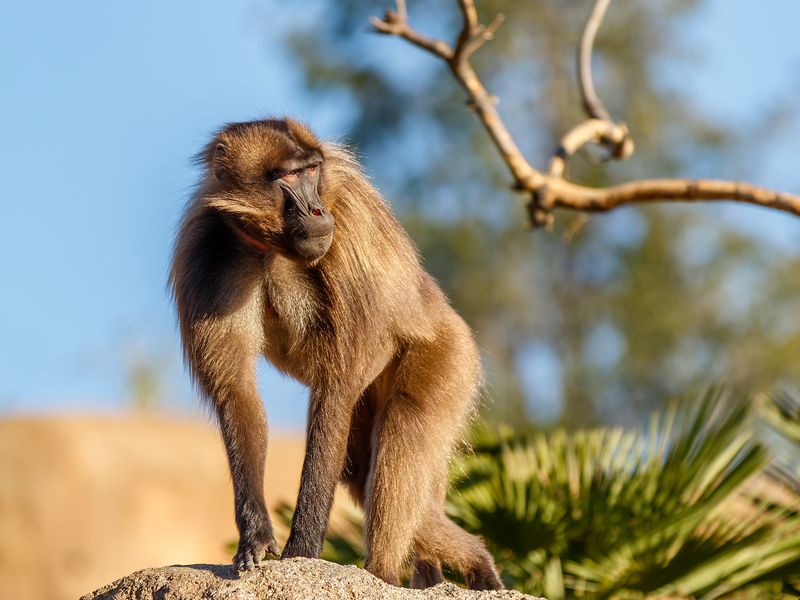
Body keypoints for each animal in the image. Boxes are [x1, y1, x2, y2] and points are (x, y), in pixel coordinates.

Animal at [169, 118, 502, 590]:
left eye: (312, 170)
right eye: (288, 176)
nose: (315, 212)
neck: (269, 247)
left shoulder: (349, 223)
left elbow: (337, 385)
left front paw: (303, 552)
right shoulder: (207, 252)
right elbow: (237, 392)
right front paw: (256, 533)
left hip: (450, 357)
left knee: (400, 443)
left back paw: (384, 573)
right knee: (369, 475)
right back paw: (471, 563)